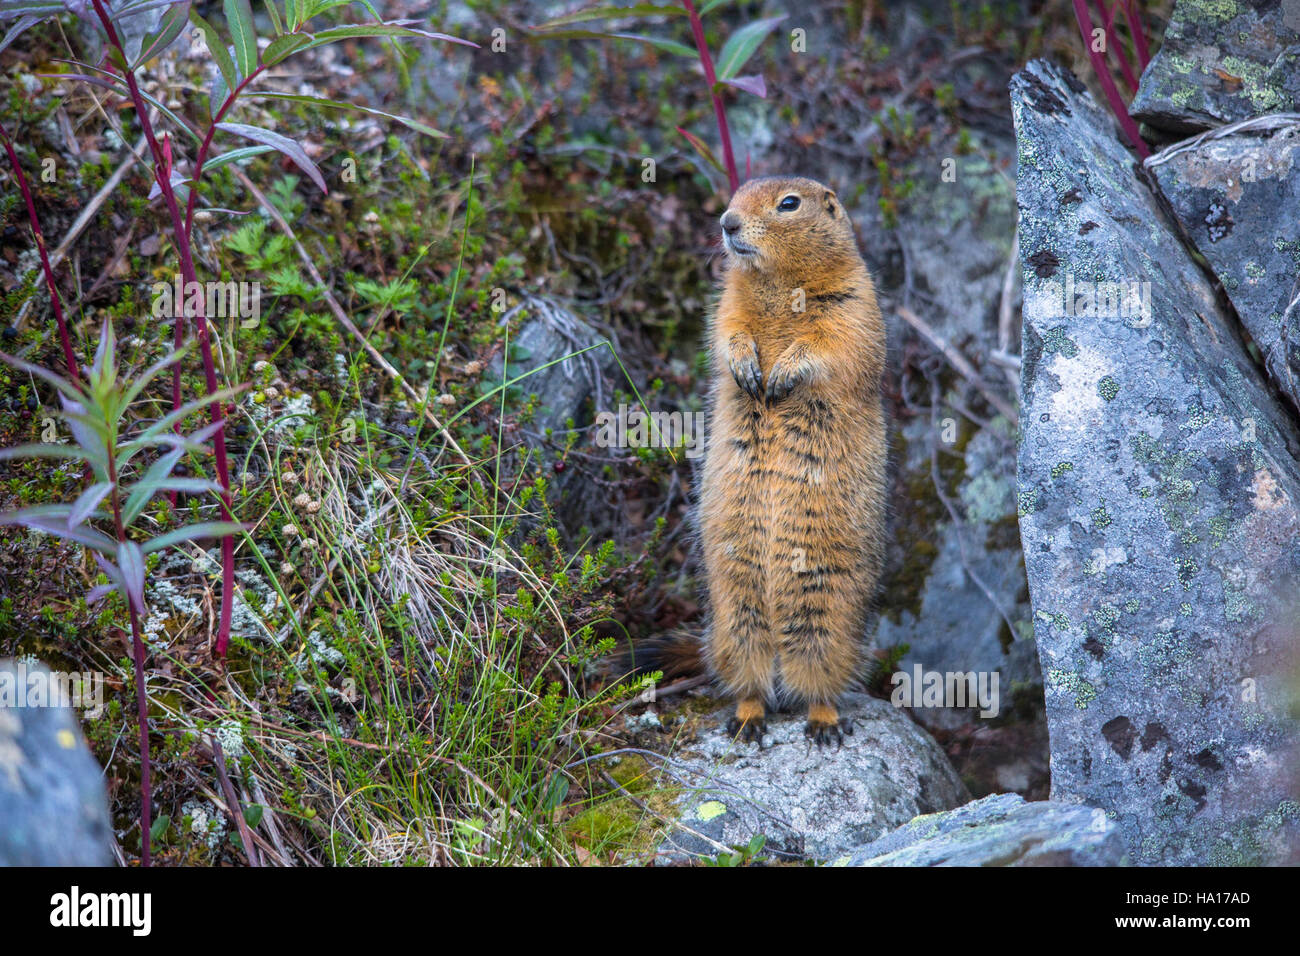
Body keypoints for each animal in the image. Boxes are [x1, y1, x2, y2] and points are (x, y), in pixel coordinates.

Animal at [626, 176, 888, 747]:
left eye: (789, 203)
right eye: (737, 192)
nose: (727, 222)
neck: (776, 281)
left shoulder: (854, 302)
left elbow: (832, 343)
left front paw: (785, 372)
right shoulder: (729, 301)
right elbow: (727, 329)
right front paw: (746, 366)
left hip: (828, 622)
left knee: (821, 681)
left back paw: (822, 722)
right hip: (733, 619)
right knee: (749, 678)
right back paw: (747, 718)